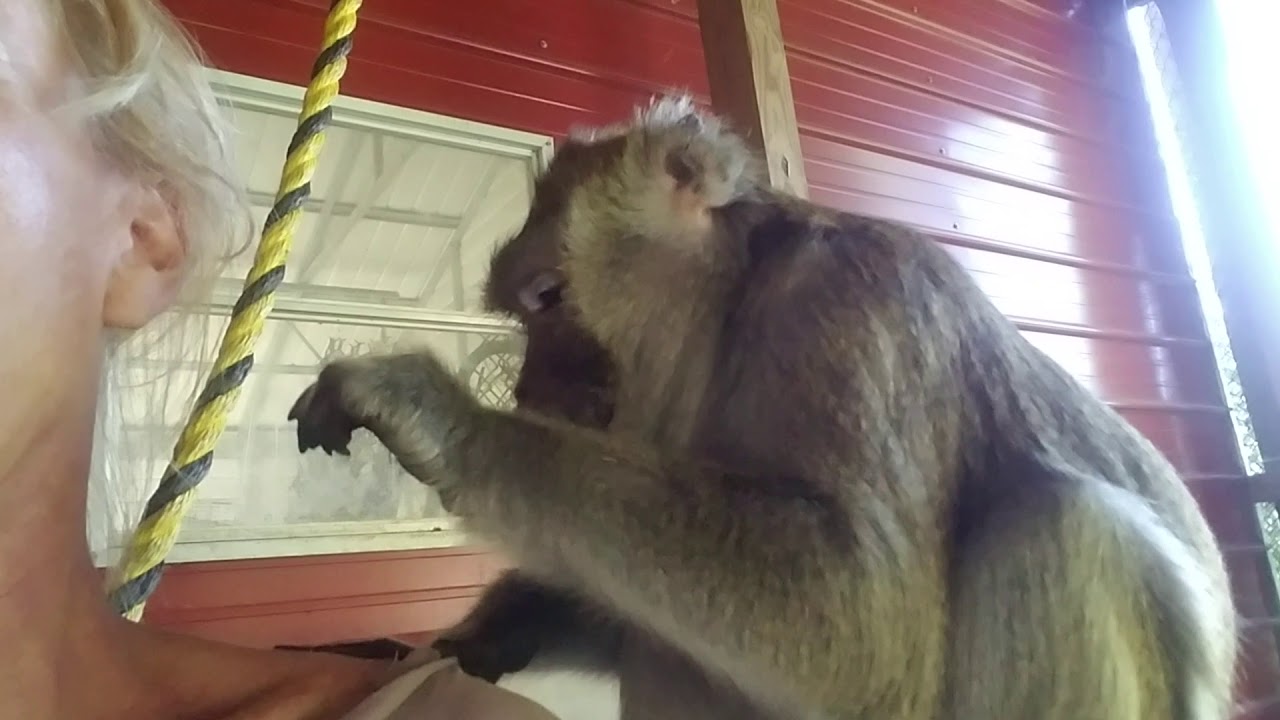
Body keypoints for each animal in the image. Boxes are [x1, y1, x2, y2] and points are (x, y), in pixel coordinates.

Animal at [287, 95, 1239, 719]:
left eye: (547, 299)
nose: (529, 392)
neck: (736, 313)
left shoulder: (851, 305)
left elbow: (862, 623)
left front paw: (447, 421)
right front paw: (501, 626)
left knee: (1069, 530)